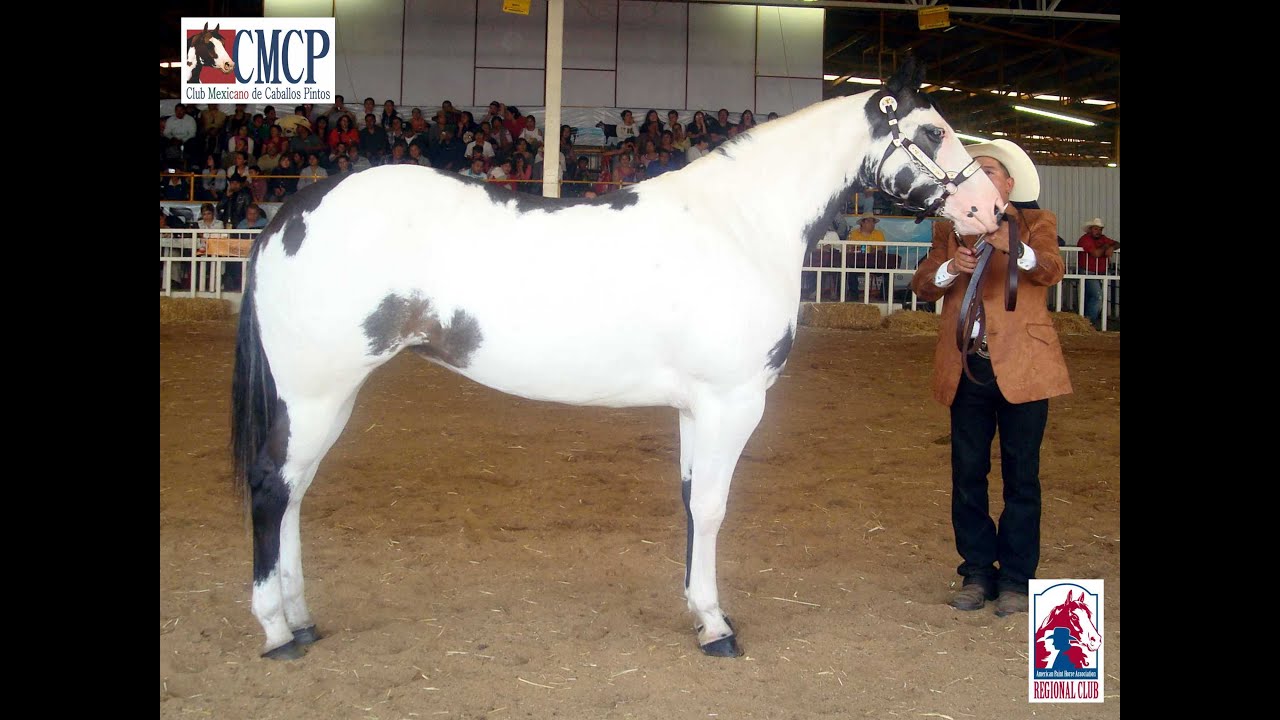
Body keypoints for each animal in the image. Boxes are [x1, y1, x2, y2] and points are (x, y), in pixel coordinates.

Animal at [229, 56, 1005, 660]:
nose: (992, 210)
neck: (739, 225)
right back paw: (276, 632)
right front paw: (717, 628)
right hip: (317, 390)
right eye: (932, 130)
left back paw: (301, 620)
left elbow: (692, 503)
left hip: (326, 395)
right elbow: (714, 508)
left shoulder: (697, 406)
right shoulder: (732, 401)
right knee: (273, 485)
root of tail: (292, 212)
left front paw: (701, 612)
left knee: (295, 489)